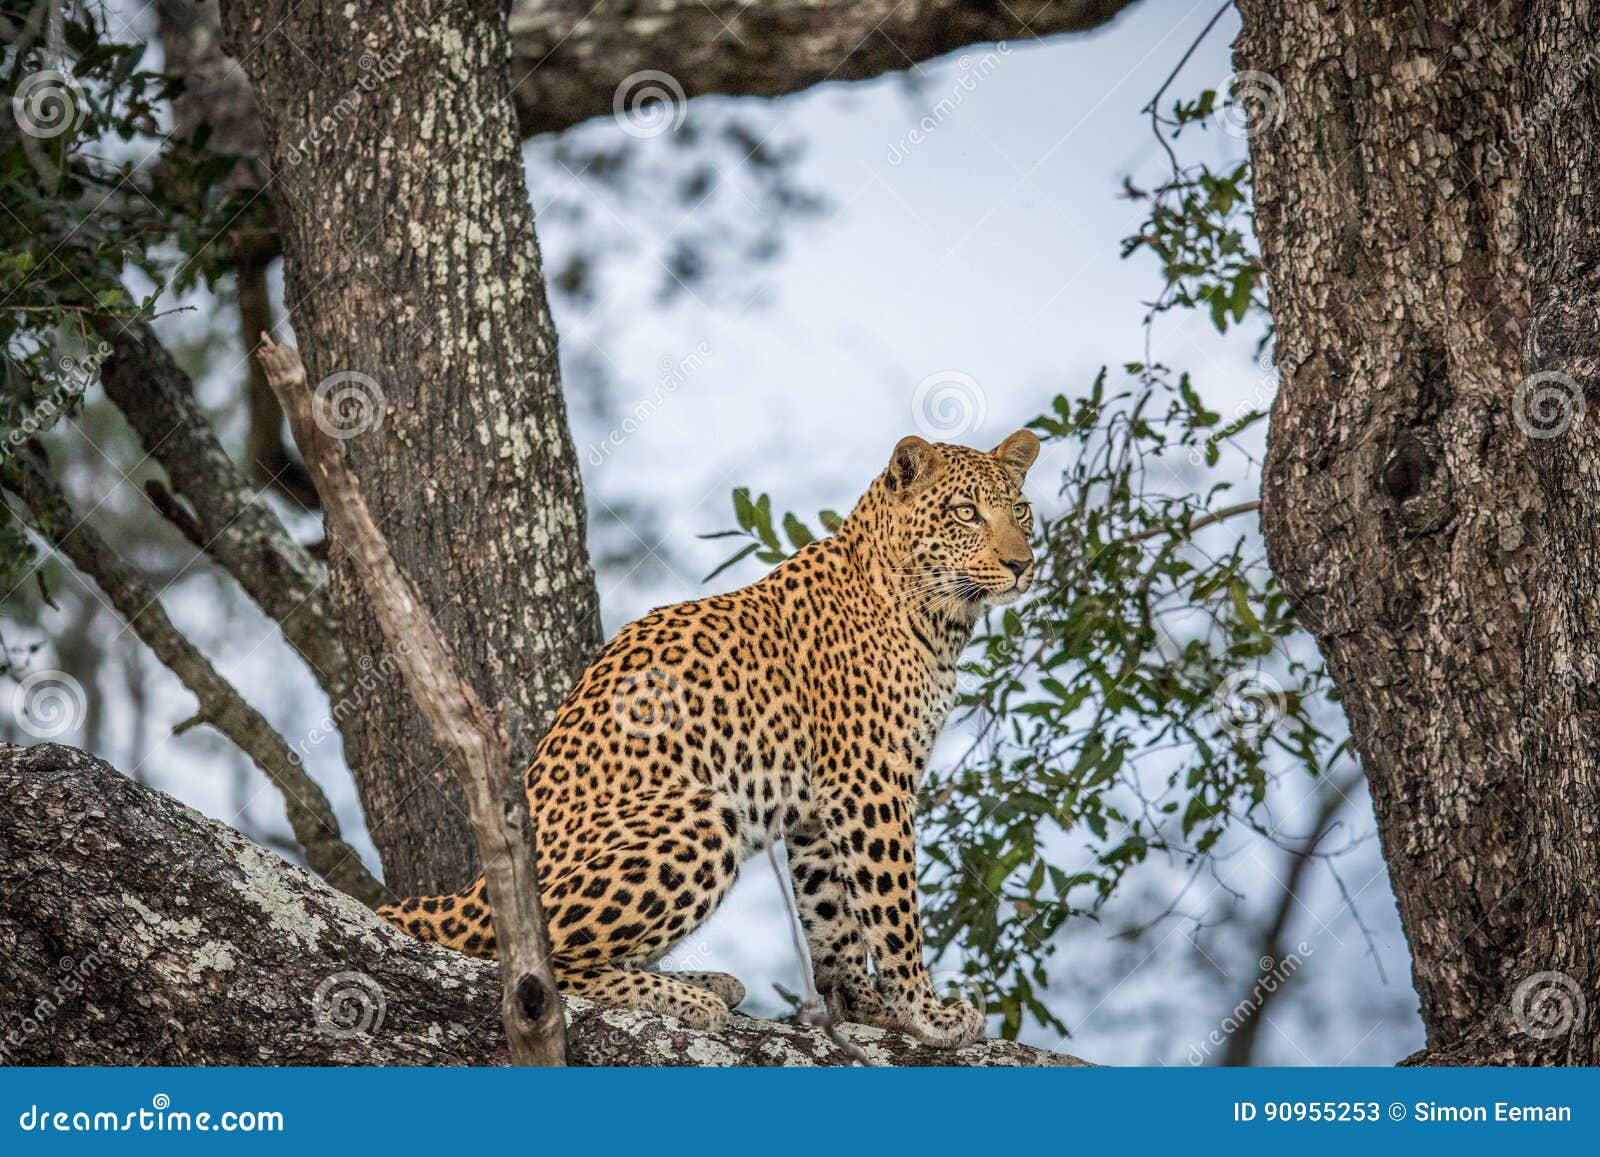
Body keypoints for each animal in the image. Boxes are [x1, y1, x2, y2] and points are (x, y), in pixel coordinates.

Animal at [378, 428, 1039, 1047]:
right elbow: (893, 909)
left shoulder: (819, 808)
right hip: (700, 814)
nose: (1022, 564)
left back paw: (704, 982)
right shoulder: (868, 784)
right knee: (530, 966)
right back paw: (684, 997)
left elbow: (833, 914)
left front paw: (866, 1008)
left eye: (1020, 509)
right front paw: (929, 1014)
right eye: (965, 512)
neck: (939, 619)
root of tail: (463, 894)